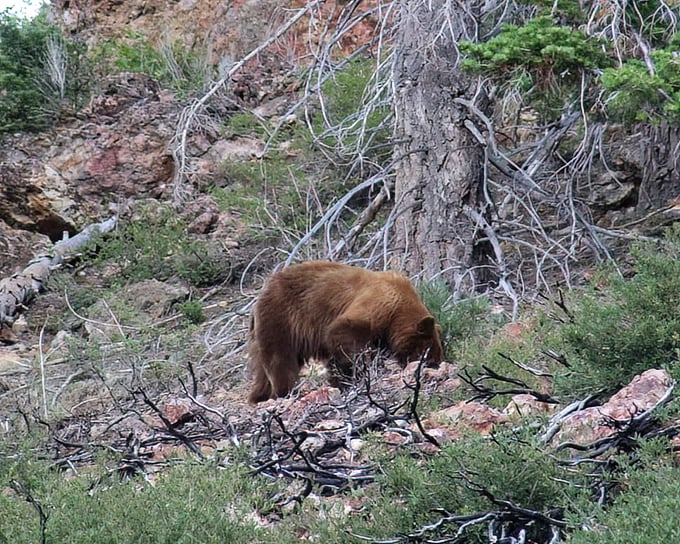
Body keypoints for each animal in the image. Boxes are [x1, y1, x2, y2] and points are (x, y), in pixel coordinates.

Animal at [248, 261, 443, 404]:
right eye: (427, 354)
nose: (434, 365)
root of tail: (258, 299)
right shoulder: (379, 302)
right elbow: (343, 332)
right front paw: (357, 373)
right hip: (280, 319)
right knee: (280, 359)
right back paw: (284, 392)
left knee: (261, 368)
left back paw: (259, 396)